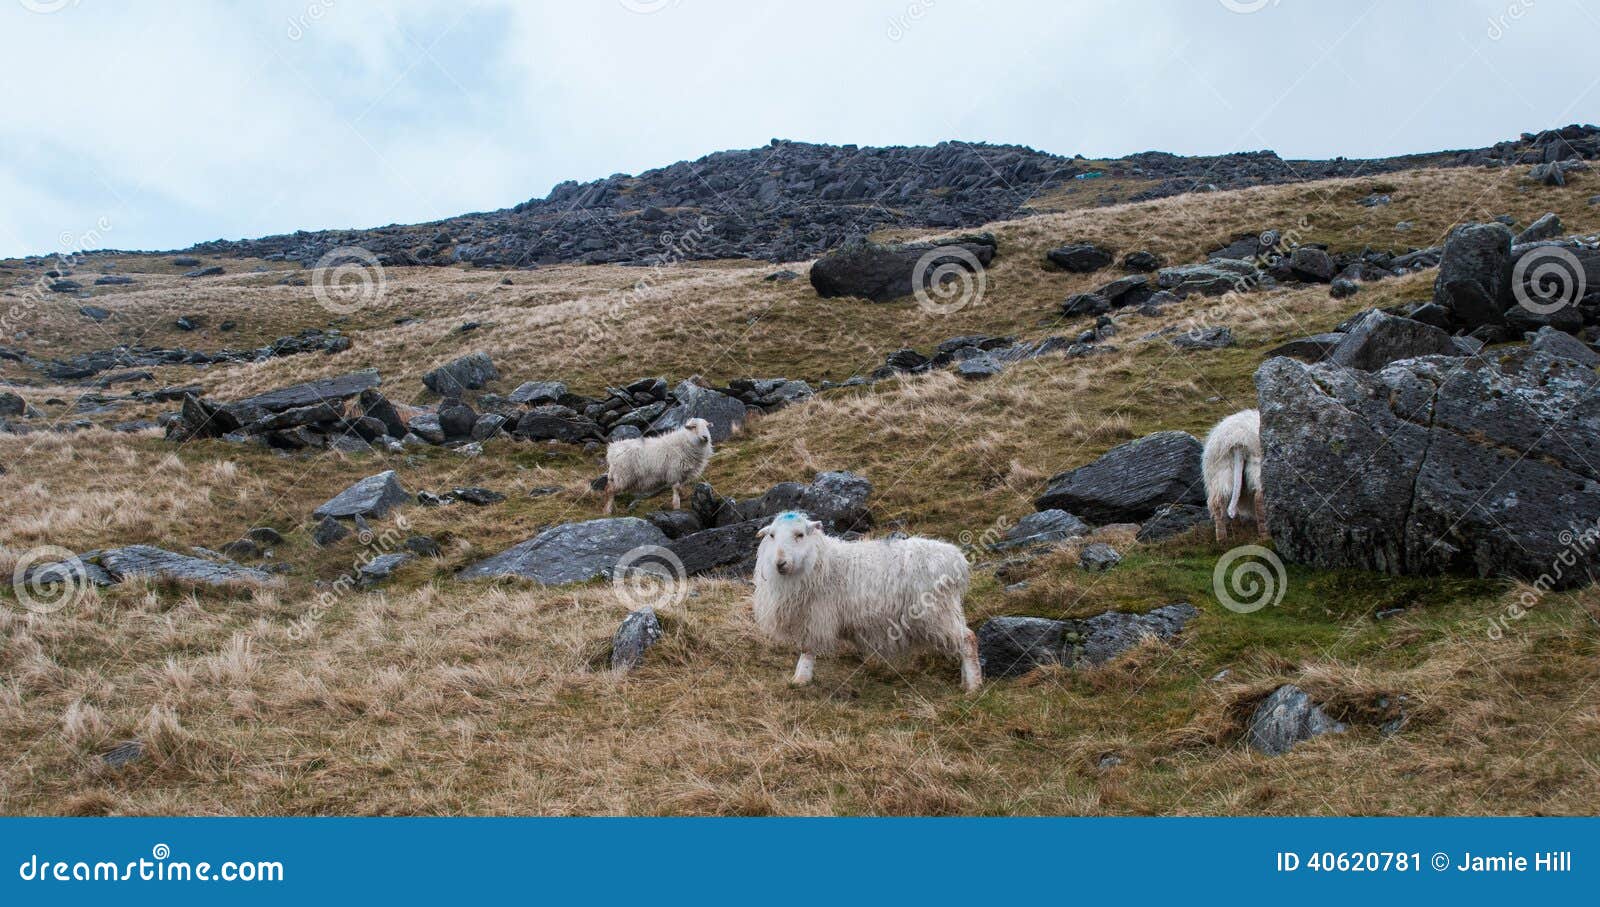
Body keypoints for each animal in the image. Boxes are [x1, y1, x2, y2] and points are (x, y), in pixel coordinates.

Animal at [752, 511, 982, 692]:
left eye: (800, 534)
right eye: (772, 535)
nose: (780, 563)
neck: (821, 560)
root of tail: (955, 559)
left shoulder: (817, 614)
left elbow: (808, 649)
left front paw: (800, 679)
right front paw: (799, 678)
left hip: (937, 611)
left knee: (968, 639)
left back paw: (973, 686)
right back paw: (965, 682)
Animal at [1202, 408, 1266, 542]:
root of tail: (1238, 439)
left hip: (1220, 469)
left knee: (1217, 502)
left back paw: (1222, 539)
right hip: (1257, 464)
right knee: (1259, 497)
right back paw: (1265, 535)